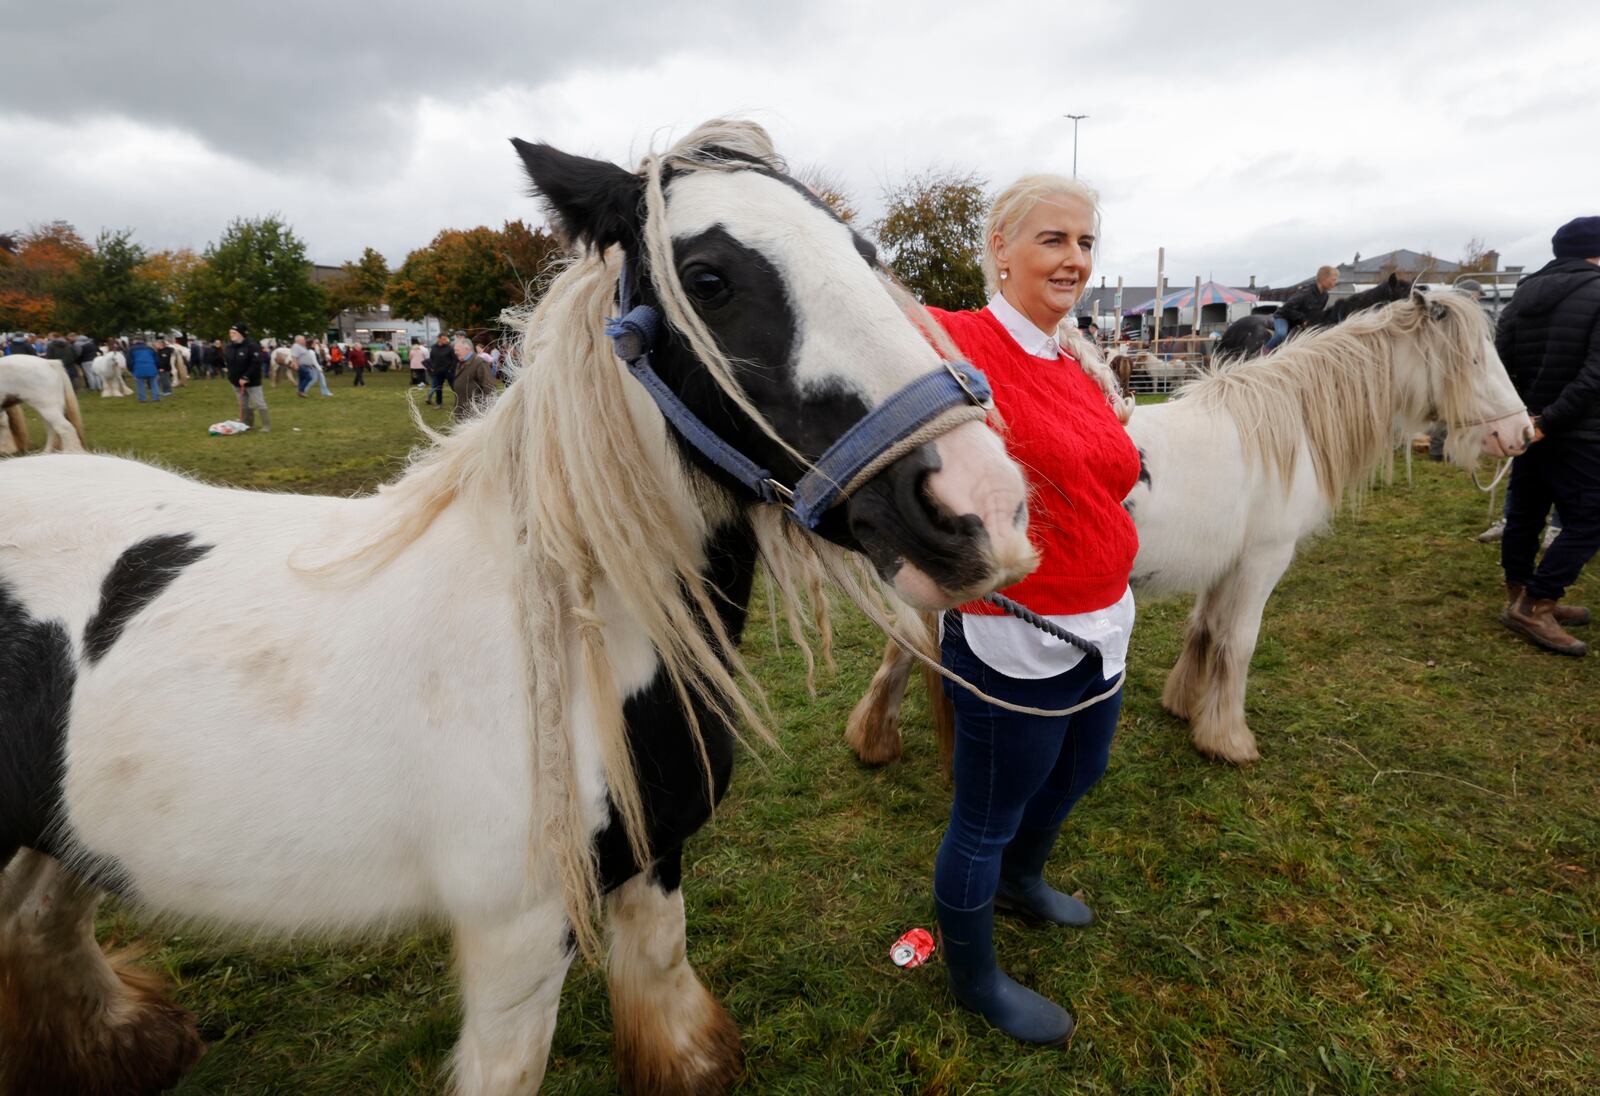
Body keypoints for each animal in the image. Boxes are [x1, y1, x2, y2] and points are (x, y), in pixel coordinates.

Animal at [0, 119, 1035, 1096]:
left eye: (863, 251)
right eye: (708, 279)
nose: (982, 506)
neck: (564, 647)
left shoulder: (652, 860)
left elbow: (665, 988)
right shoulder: (519, 937)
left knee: (41, 927)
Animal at [844, 289, 1532, 768]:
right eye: (1475, 358)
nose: (1522, 433)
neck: (1284, 433)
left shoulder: (1226, 564)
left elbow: (1206, 632)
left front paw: (1186, 705)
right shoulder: (1261, 562)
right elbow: (1240, 643)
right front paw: (1228, 738)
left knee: (902, 650)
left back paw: (873, 741)